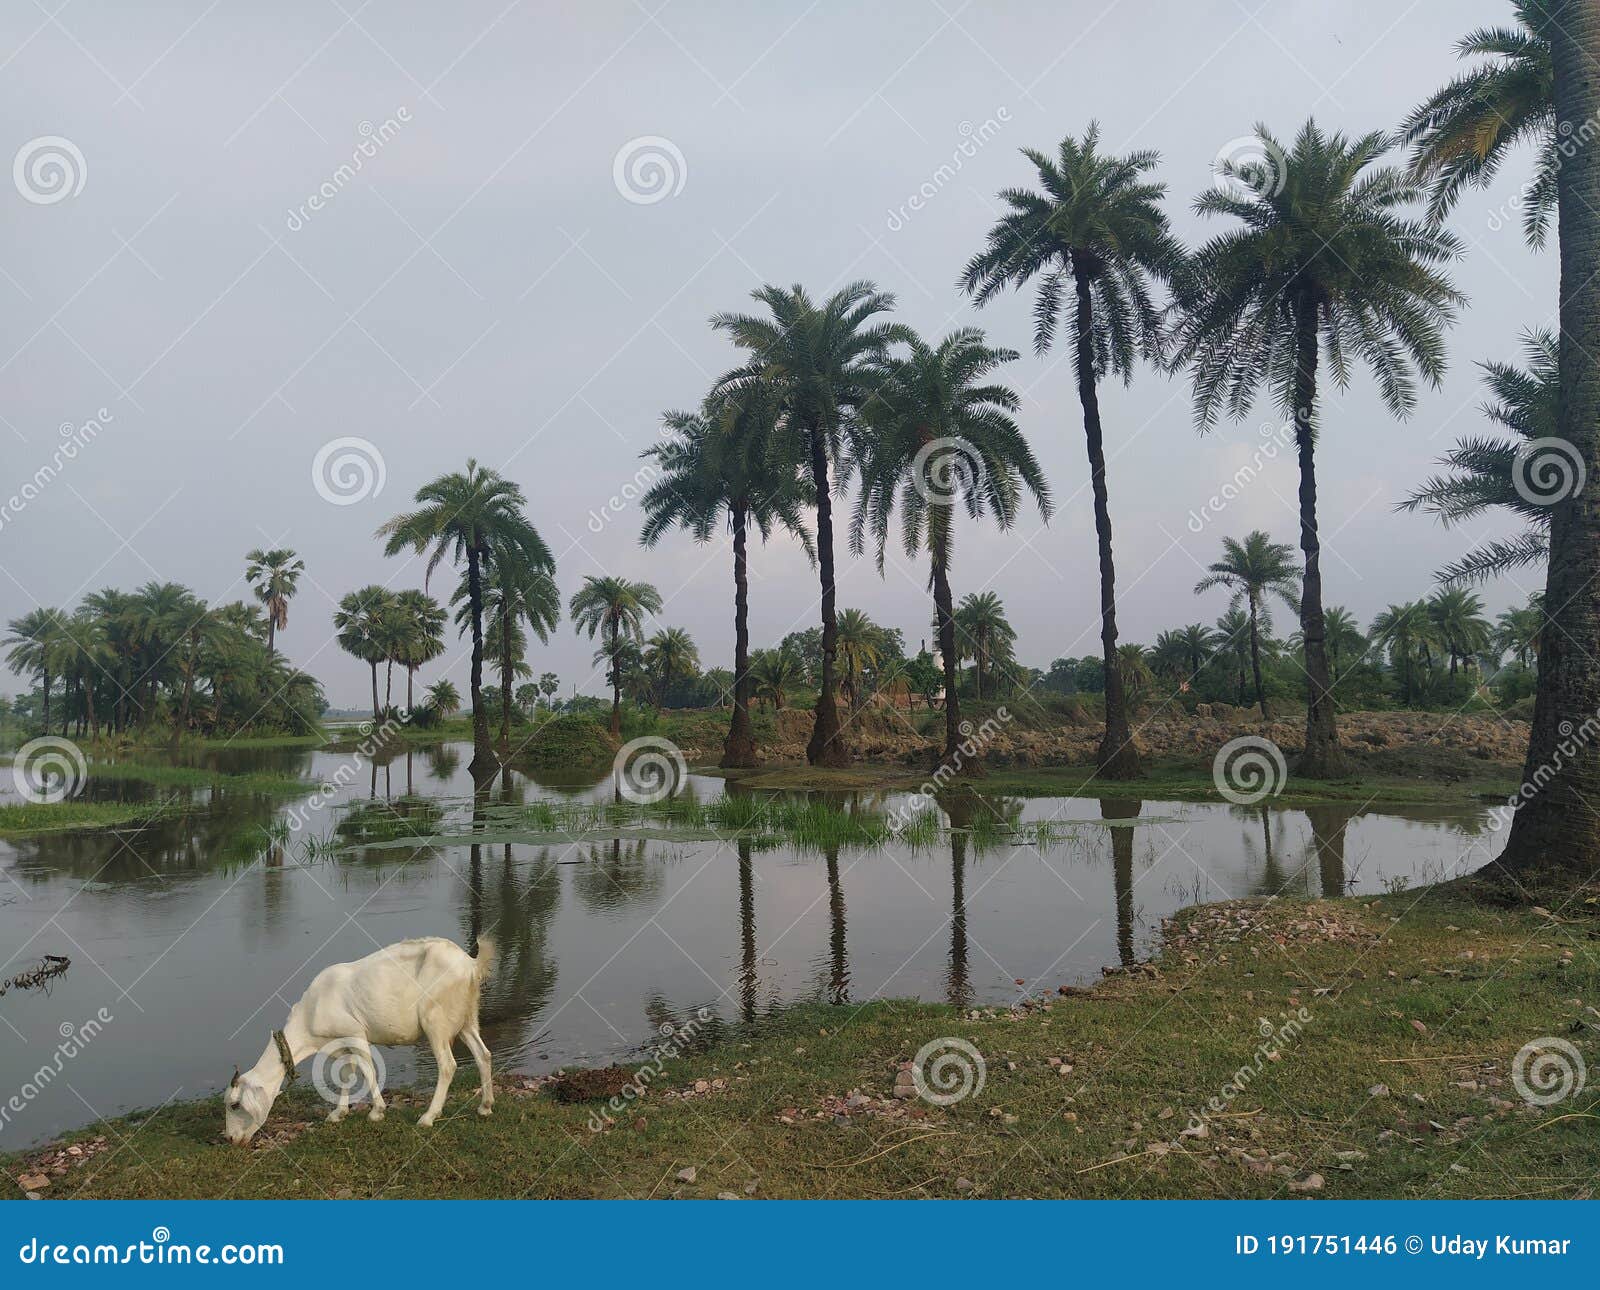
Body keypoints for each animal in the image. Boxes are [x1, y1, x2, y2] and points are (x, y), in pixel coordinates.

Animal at [224, 936, 495, 1145]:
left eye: (235, 1105)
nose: (230, 1139)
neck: (311, 1013)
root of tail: (472, 964)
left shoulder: (355, 1032)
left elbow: (368, 1070)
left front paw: (377, 1112)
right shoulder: (340, 1042)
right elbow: (346, 1073)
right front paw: (338, 1113)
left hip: (435, 1019)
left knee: (447, 1065)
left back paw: (428, 1117)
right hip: (467, 1018)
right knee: (483, 1054)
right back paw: (485, 1107)